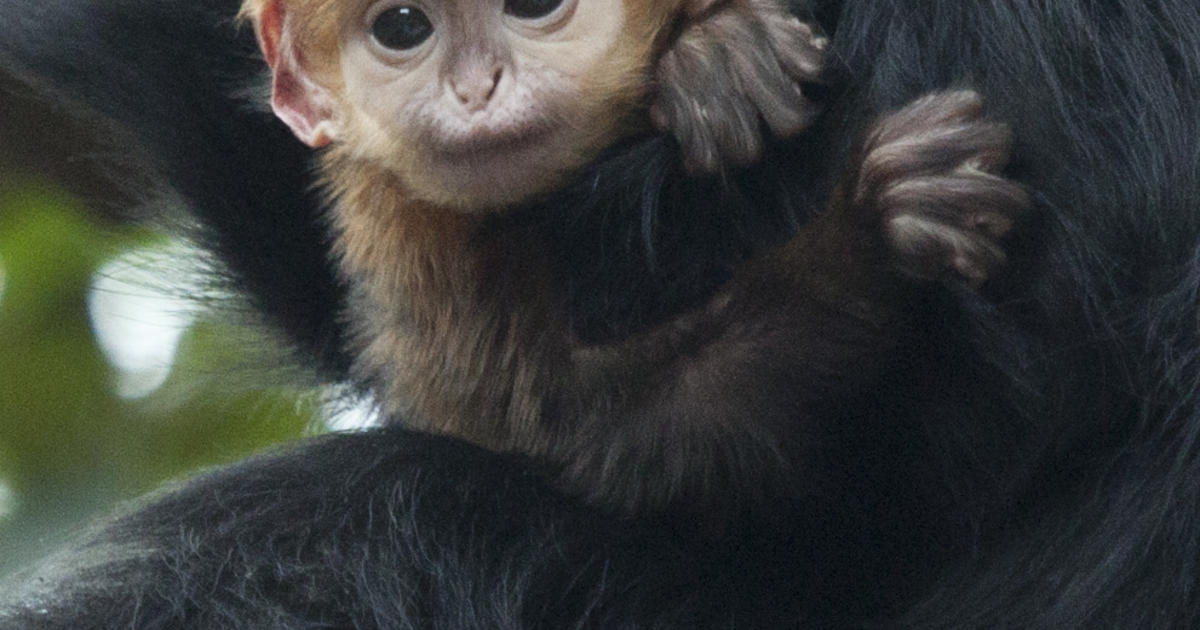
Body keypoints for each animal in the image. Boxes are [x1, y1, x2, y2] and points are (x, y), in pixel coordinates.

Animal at [240, 0, 1028, 515]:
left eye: (531, 2)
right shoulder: (421, 238)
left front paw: (716, 54)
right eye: (403, 26)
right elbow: (615, 443)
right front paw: (868, 236)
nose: (476, 85)